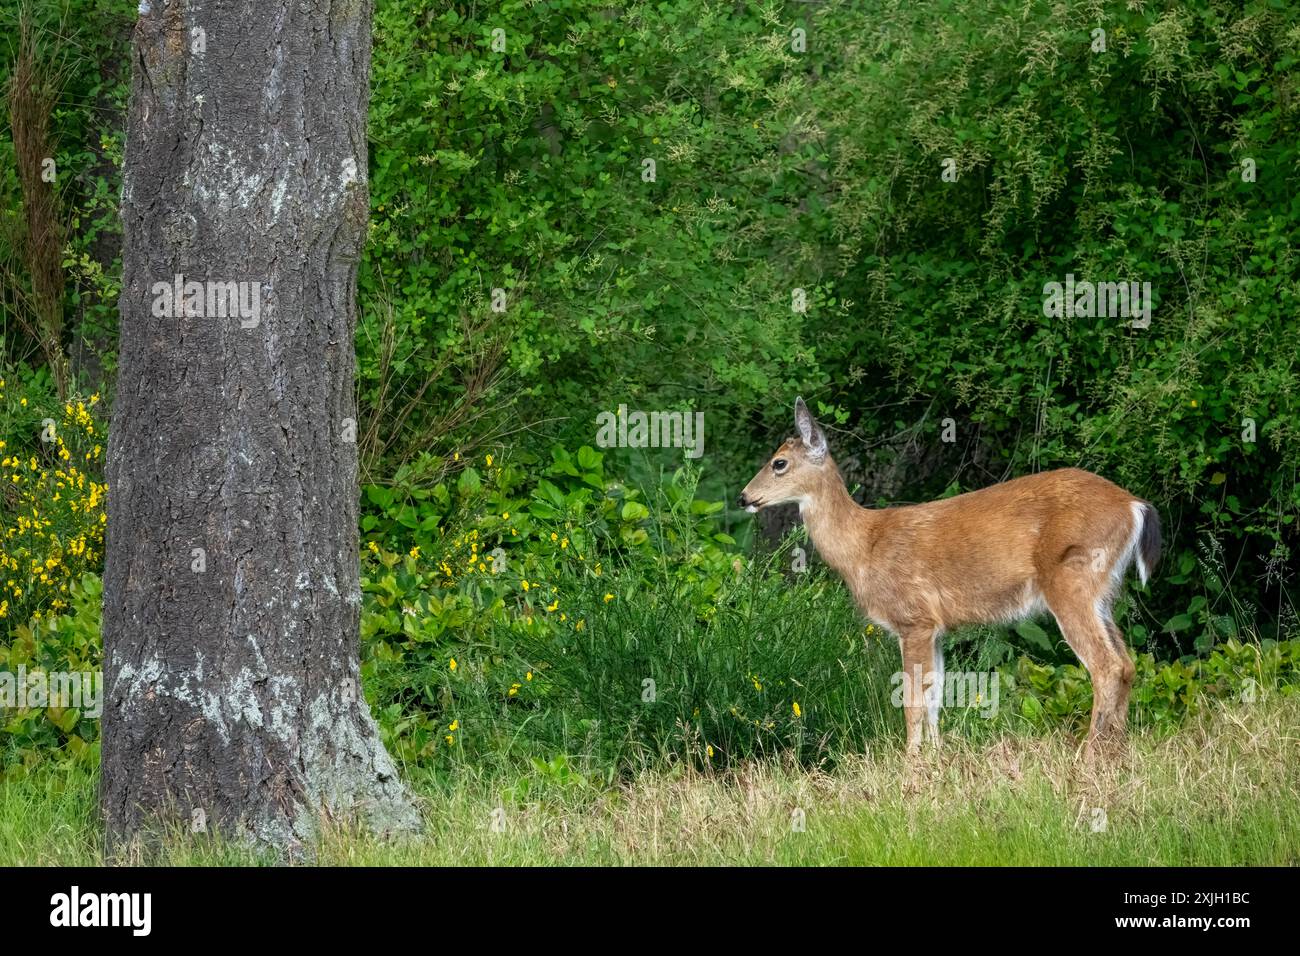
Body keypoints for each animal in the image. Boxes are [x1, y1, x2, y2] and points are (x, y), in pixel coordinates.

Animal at [739, 398, 1161, 759]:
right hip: (1105, 592)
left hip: (1072, 581)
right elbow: (935, 698)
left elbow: (912, 700)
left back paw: (1087, 757)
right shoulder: (936, 628)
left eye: (779, 463)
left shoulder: (914, 619)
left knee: (1106, 666)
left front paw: (910, 765)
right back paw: (1117, 753)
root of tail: (1134, 505)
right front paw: (937, 760)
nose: (744, 497)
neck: (863, 547)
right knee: (1127, 663)